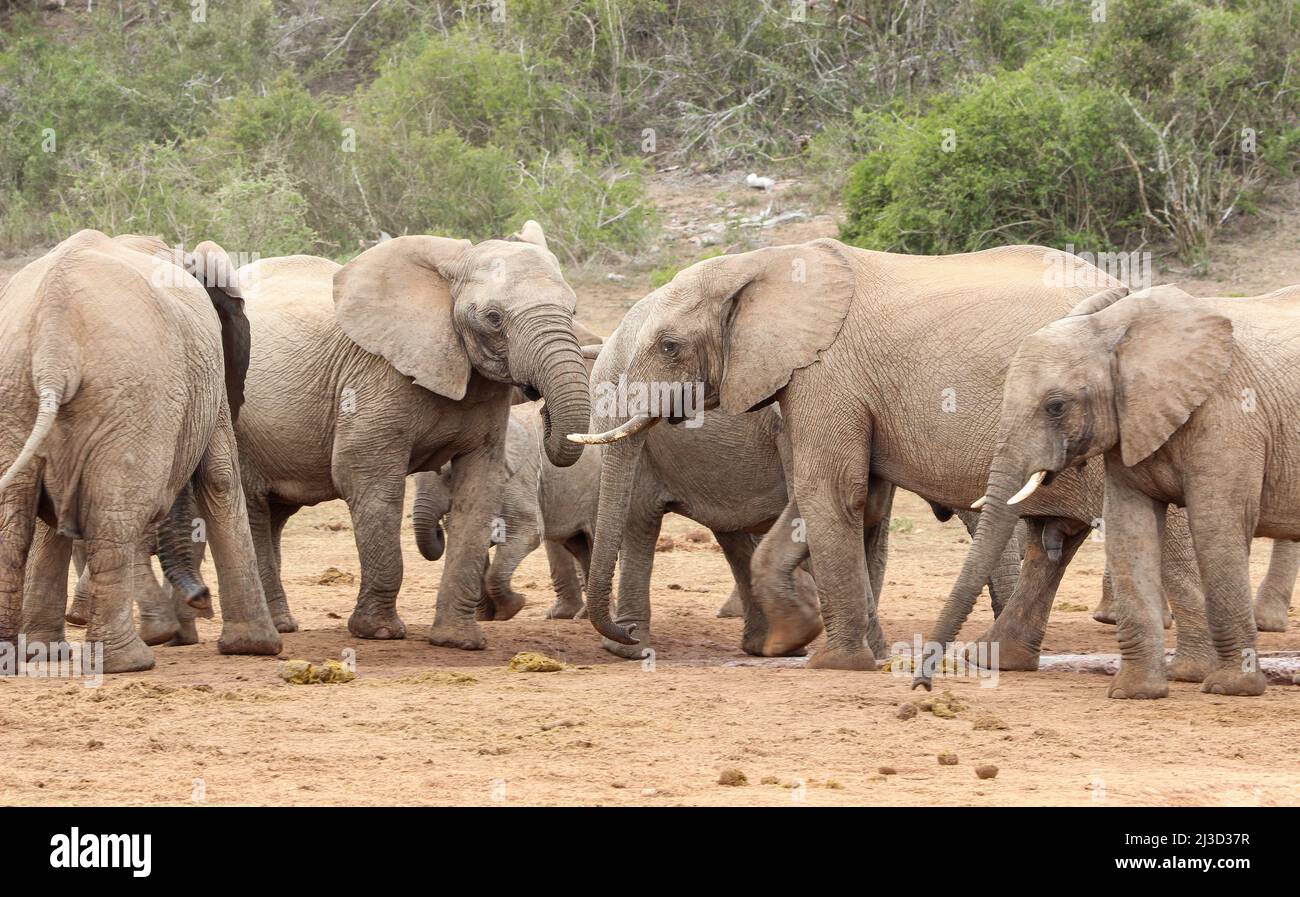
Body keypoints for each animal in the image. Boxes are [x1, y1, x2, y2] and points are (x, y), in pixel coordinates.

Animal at [0, 230, 280, 673]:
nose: (201, 600)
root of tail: (53, 342)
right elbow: (220, 477)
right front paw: (255, 647)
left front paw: (43, 651)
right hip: (133, 396)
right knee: (121, 513)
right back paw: (130, 660)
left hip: (20, 389)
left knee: (16, 522)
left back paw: (17, 659)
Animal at [141, 223, 592, 652]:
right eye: (494, 318)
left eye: (573, 309)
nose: (543, 406)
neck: (449, 269)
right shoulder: (373, 376)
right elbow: (369, 480)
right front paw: (378, 633)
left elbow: (479, 488)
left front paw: (459, 641)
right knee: (253, 506)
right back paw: (276, 627)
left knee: (273, 513)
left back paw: (280, 623)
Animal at [569, 240, 1214, 679]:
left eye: (669, 346)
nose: (626, 637)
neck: (765, 261)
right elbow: (862, 501)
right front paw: (825, 645)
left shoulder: (827, 374)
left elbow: (830, 491)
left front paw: (822, 656)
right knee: (1053, 537)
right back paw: (1000, 660)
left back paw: (1190, 672)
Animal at [963, 283, 1300, 698]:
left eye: (1056, 406)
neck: (1119, 332)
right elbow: (1130, 530)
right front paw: (1135, 693)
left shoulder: (1231, 418)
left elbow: (1217, 529)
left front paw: (1229, 687)